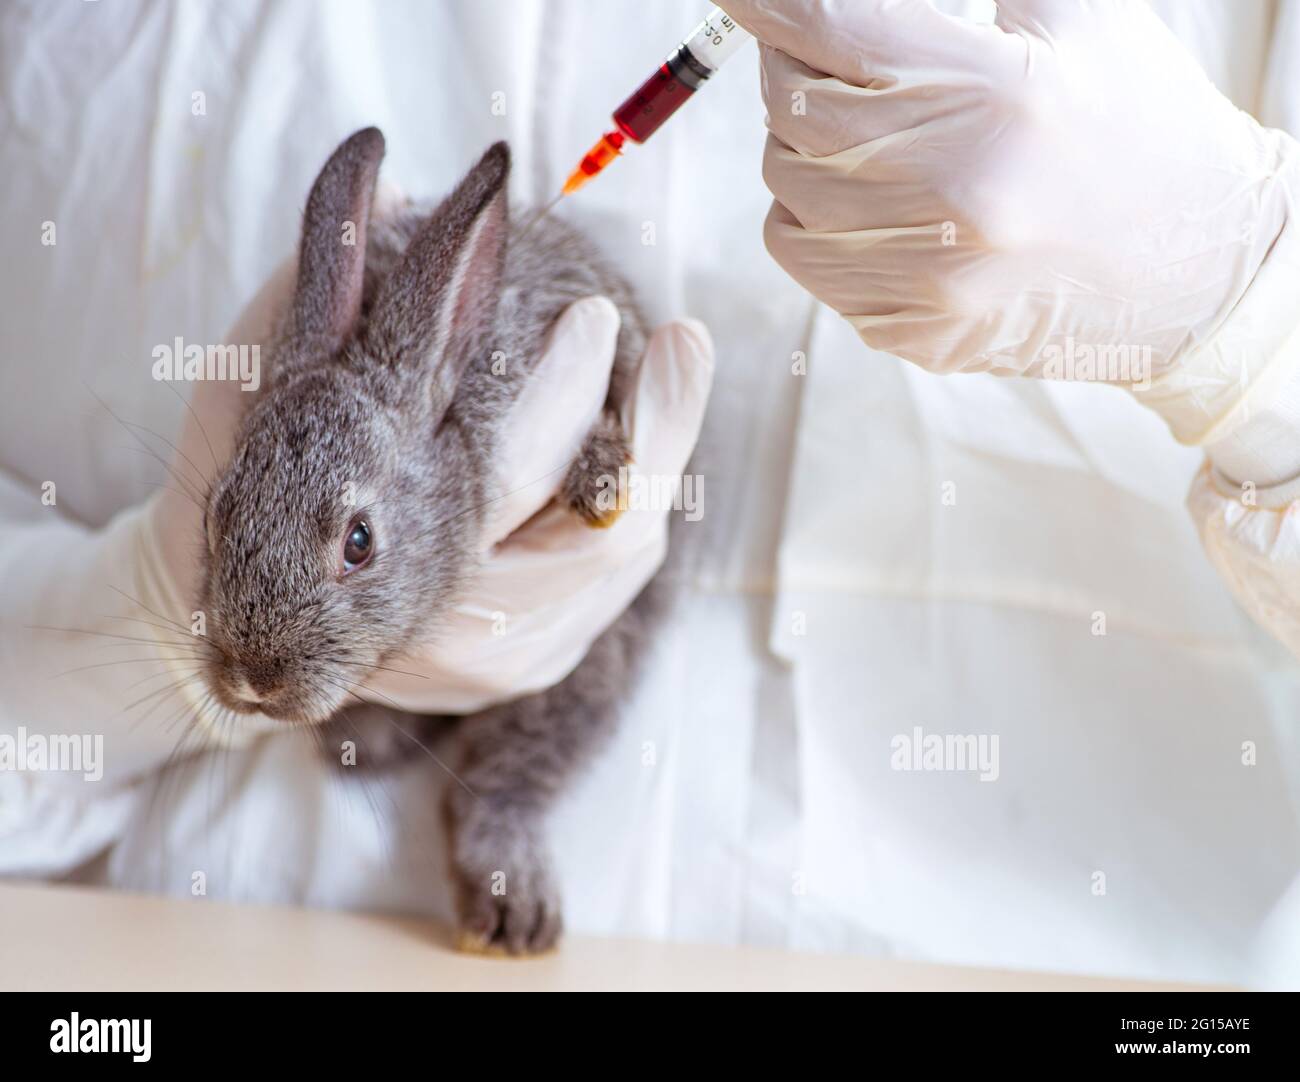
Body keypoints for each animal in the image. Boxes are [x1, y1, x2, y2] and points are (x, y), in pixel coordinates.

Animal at [196, 127, 667, 954]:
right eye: (216, 517)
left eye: (358, 542)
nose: (252, 680)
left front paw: (600, 480)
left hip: (593, 662)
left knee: (503, 783)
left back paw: (511, 911)